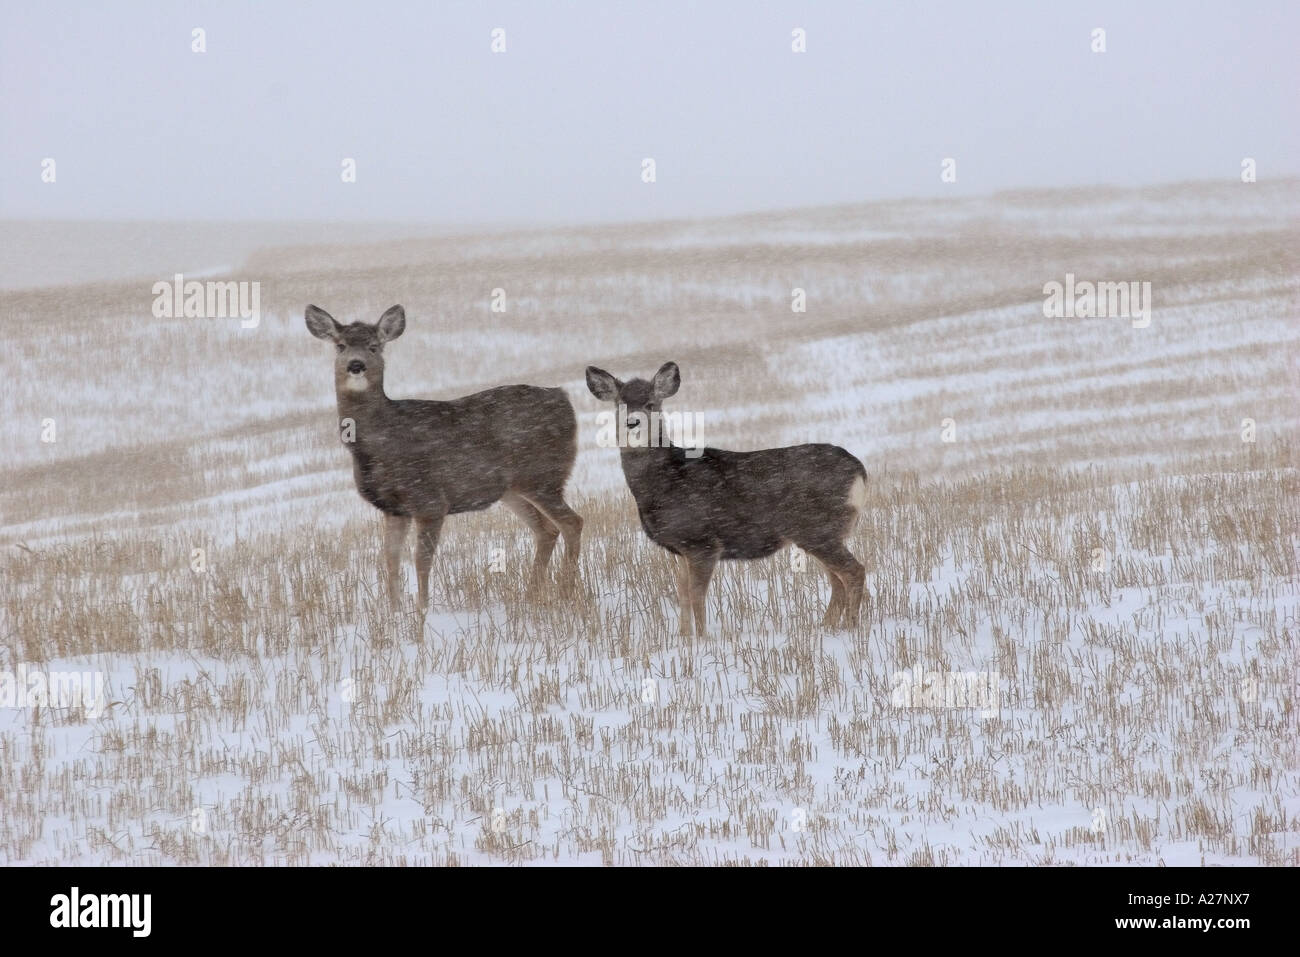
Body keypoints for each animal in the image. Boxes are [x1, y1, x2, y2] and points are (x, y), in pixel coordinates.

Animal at [306, 304, 583, 610]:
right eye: (340, 345)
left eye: (374, 346)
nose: (356, 365)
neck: (379, 444)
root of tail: (564, 399)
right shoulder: (394, 509)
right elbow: (390, 559)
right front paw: (394, 611)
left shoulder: (430, 501)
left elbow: (421, 559)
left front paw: (422, 610)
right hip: (513, 490)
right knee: (547, 530)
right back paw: (532, 593)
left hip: (542, 476)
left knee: (572, 522)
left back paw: (566, 590)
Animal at [585, 361, 867, 636]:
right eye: (620, 404)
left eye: (650, 404)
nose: (632, 423)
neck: (664, 481)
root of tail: (859, 471)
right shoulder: (681, 548)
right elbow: (682, 593)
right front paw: (684, 638)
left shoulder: (702, 542)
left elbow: (696, 595)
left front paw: (702, 639)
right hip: (822, 533)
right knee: (837, 579)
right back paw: (826, 627)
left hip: (819, 529)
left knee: (853, 571)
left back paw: (851, 627)